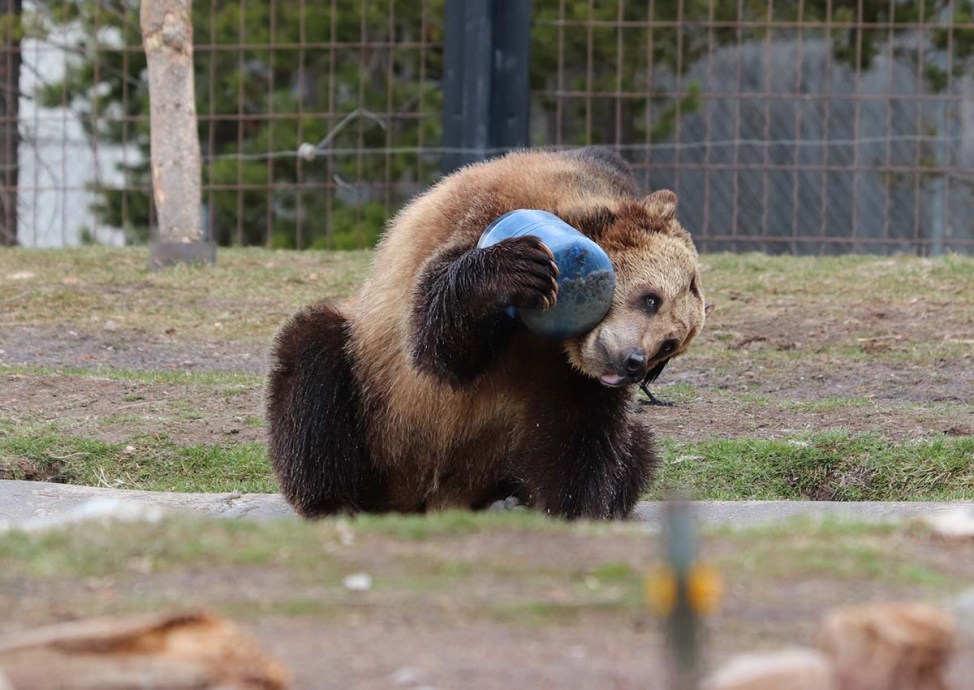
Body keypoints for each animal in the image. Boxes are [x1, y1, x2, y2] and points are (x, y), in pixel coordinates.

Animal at [267, 147, 706, 520]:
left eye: (670, 345)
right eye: (650, 299)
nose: (634, 362)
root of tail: (431, 497)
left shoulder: (568, 374)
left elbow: (582, 434)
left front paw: (568, 508)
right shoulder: (479, 219)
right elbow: (439, 341)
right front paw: (517, 268)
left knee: (639, 448)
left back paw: (509, 500)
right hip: (377, 404)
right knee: (313, 367)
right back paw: (336, 502)